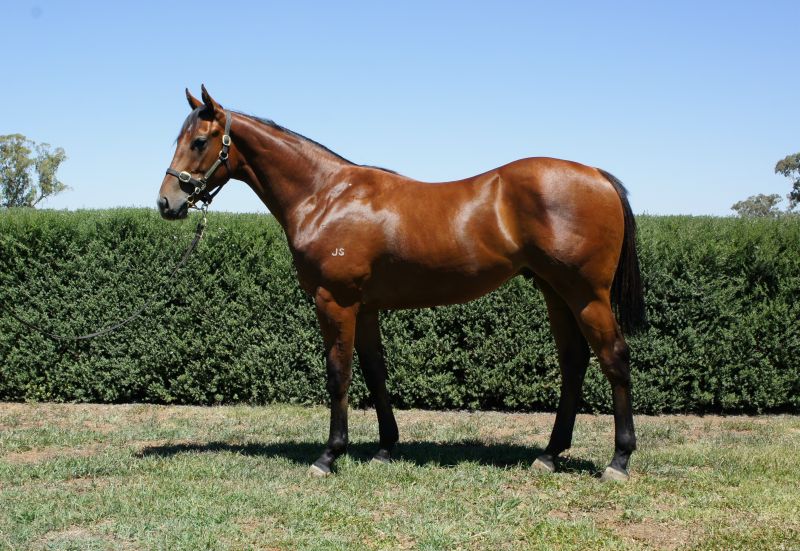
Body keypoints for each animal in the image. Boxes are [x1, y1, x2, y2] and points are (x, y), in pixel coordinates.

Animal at [158, 86, 645, 482]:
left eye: (199, 141)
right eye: (179, 140)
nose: (167, 202)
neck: (325, 196)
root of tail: (597, 175)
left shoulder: (335, 303)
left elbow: (339, 374)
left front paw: (329, 455)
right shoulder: (366, 307)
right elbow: (376, 372)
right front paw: (386, 448)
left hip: (587, 295)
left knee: (614, 359)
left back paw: (618, 461)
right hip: (555, 292)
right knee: (574, 363)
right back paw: (549, 454)